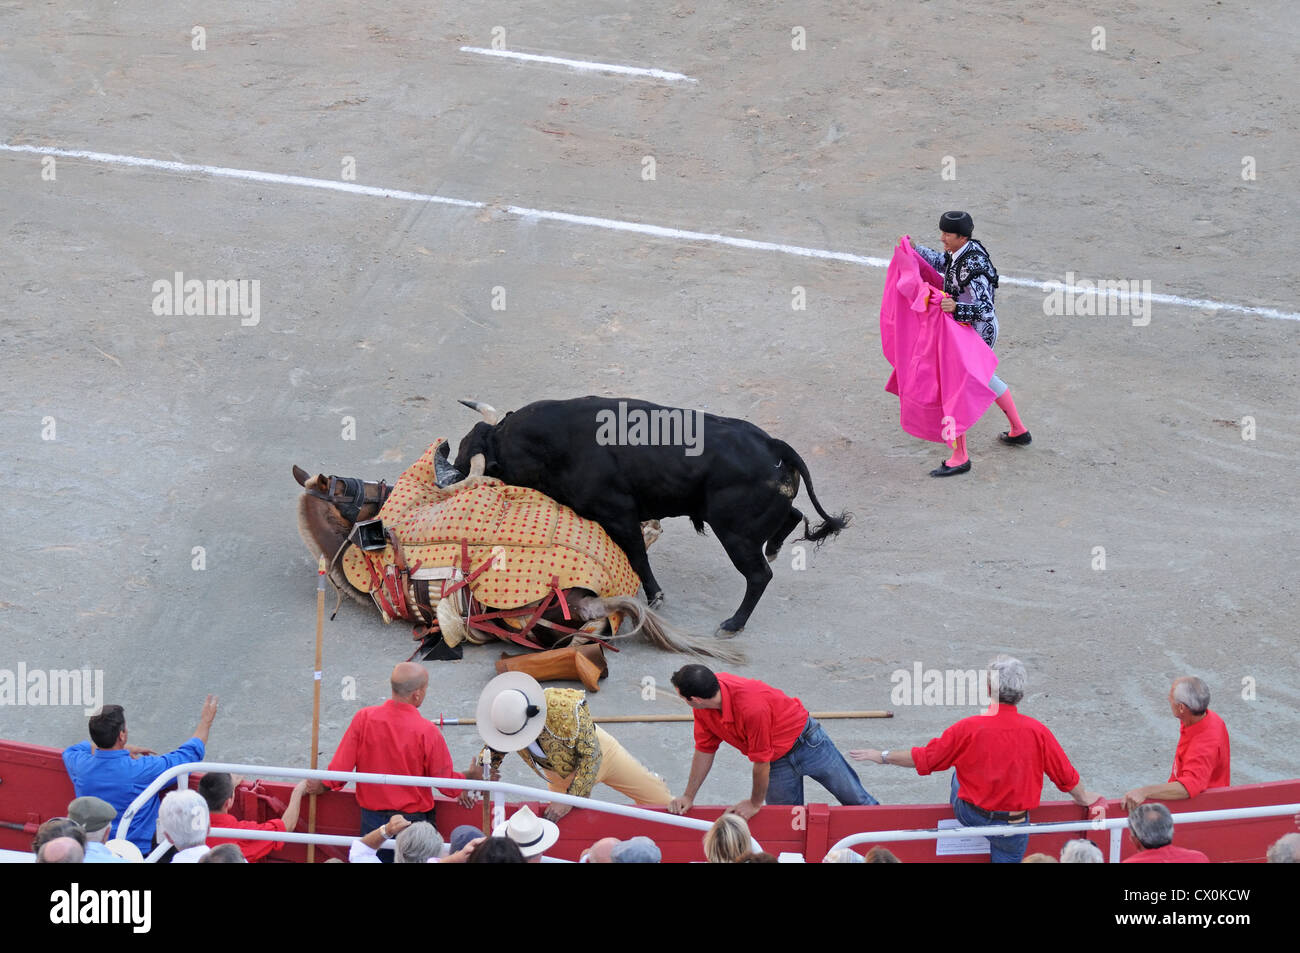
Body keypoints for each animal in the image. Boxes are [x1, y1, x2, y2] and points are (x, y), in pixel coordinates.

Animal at [441, 396, 851, 637]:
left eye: (470, 455)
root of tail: (774, 445)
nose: (450, 475)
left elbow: (638, 556)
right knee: (793, 515)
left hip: (734, 533)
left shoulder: (619, 513)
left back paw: (732, 624)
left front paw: (655, 596)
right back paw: (776, 547)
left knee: (759, 575)